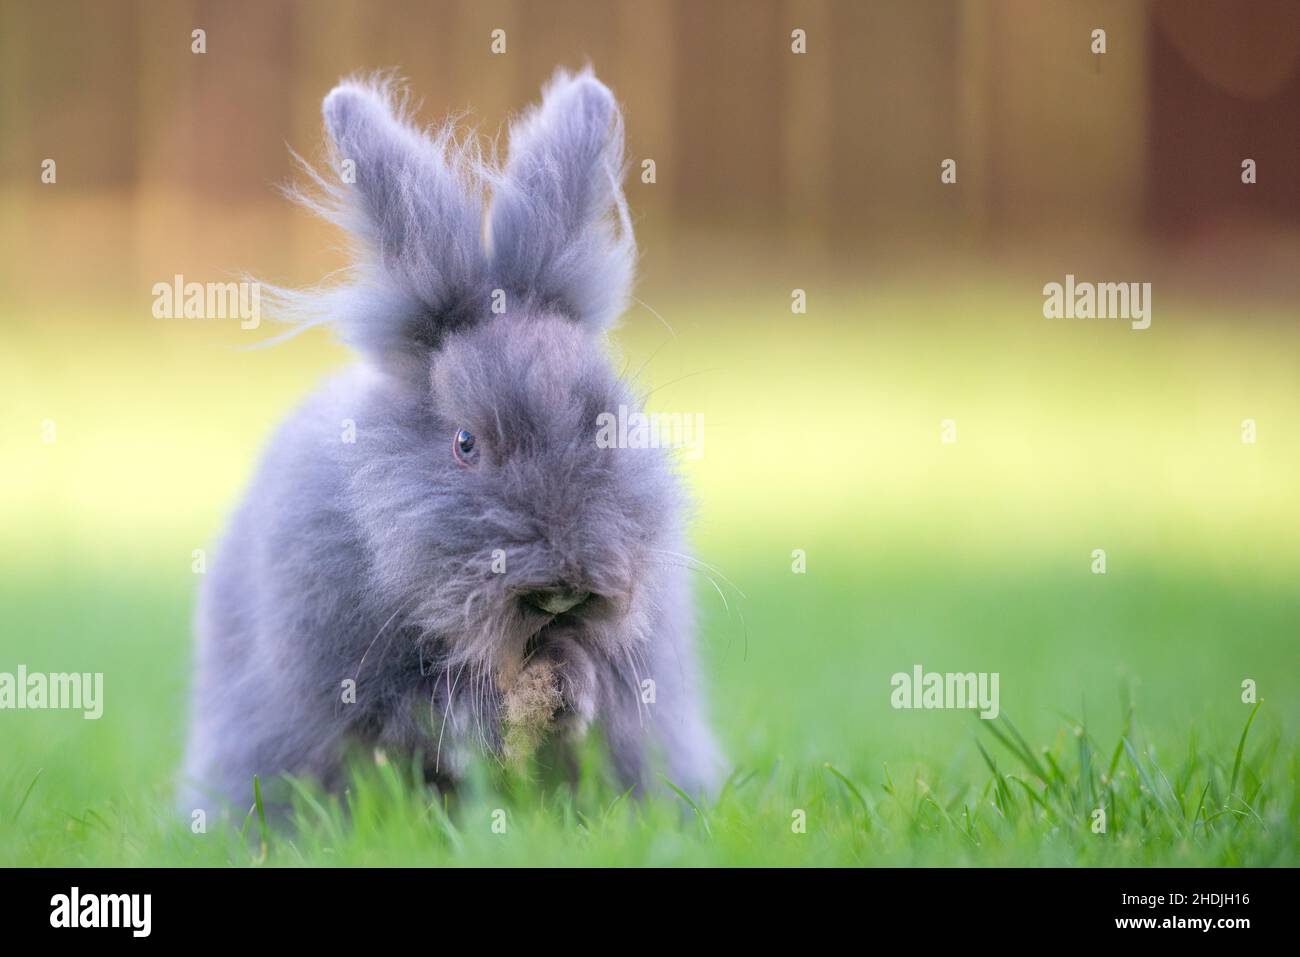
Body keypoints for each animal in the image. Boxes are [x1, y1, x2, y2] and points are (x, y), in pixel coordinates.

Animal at [180, 67, 723, 818]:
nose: (565, 585)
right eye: (465, 442)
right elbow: (422, 710)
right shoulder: (362, 675)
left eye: (608, 424)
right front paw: (510, 709)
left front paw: (570, 689)